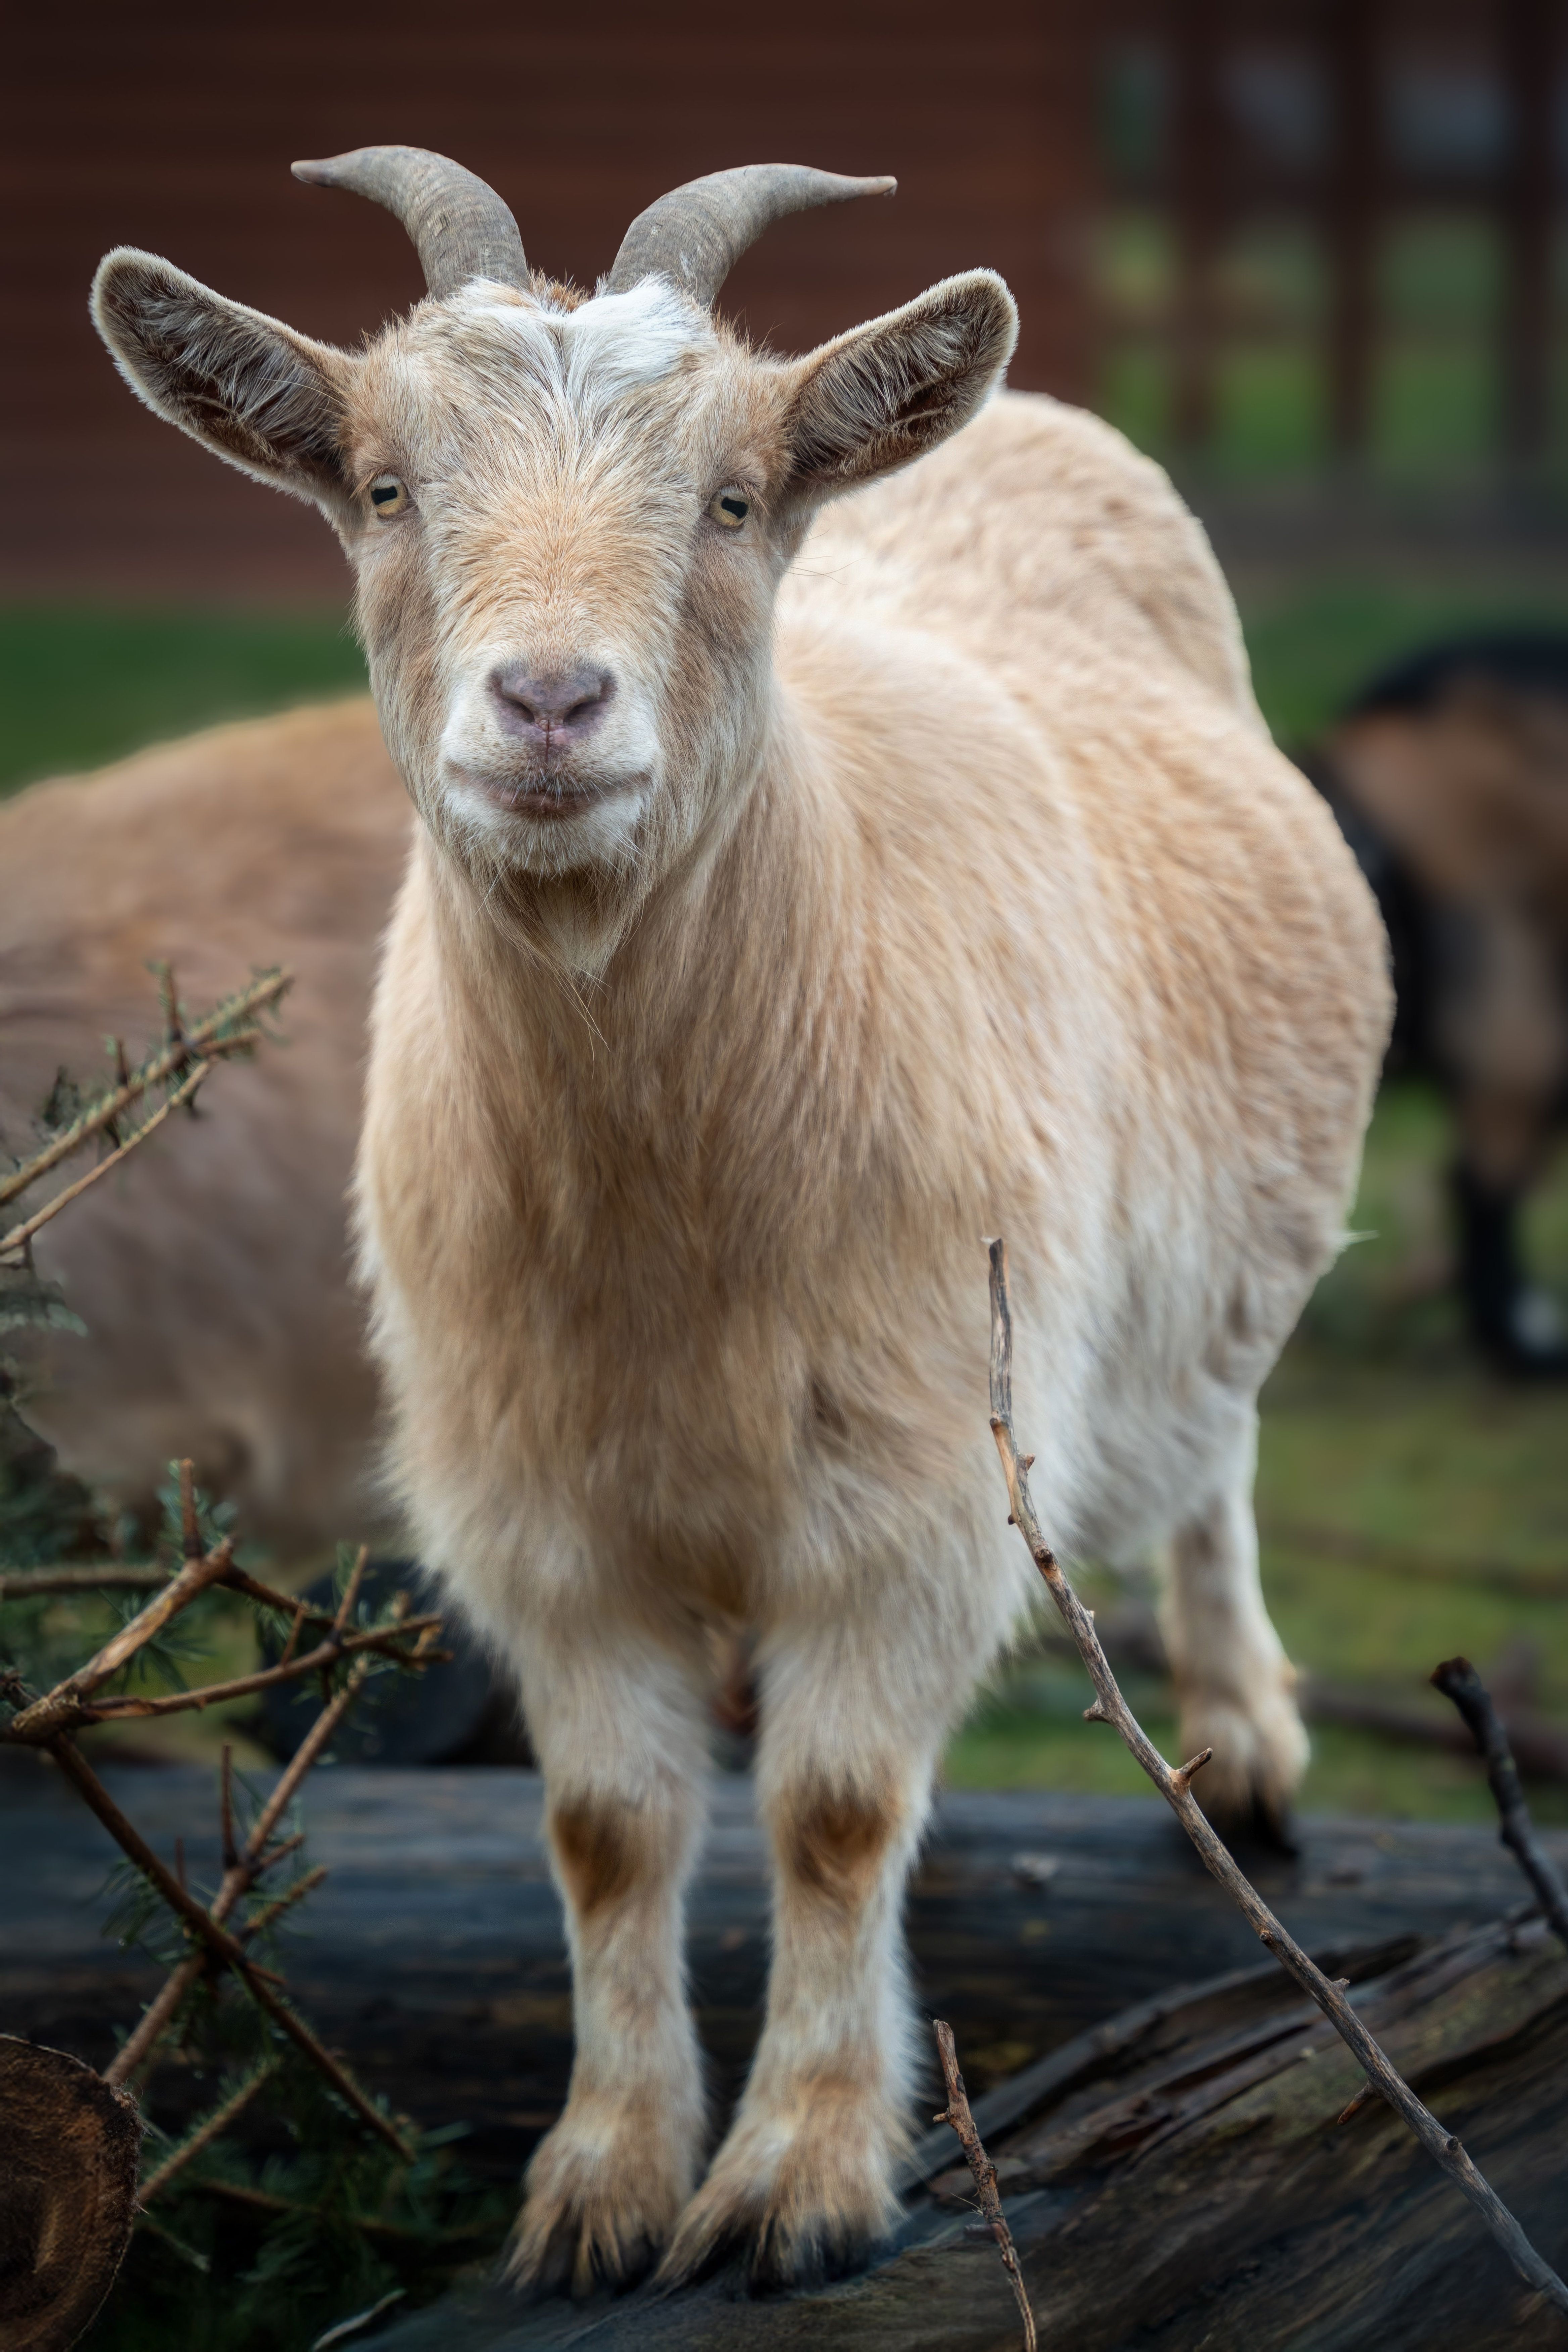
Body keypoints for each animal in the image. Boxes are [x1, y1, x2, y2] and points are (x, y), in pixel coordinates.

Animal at [91, 147, 1390, 2291]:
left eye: (727, 497)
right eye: (381, 484)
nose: (548, 703)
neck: (671, 1198)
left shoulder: (919, 1488)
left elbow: (835, 1812)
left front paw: (797, 2177)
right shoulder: (532, 1512)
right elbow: (607, 1832)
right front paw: (601, 2186)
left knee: (1213, 1444)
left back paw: (1242, 1741)